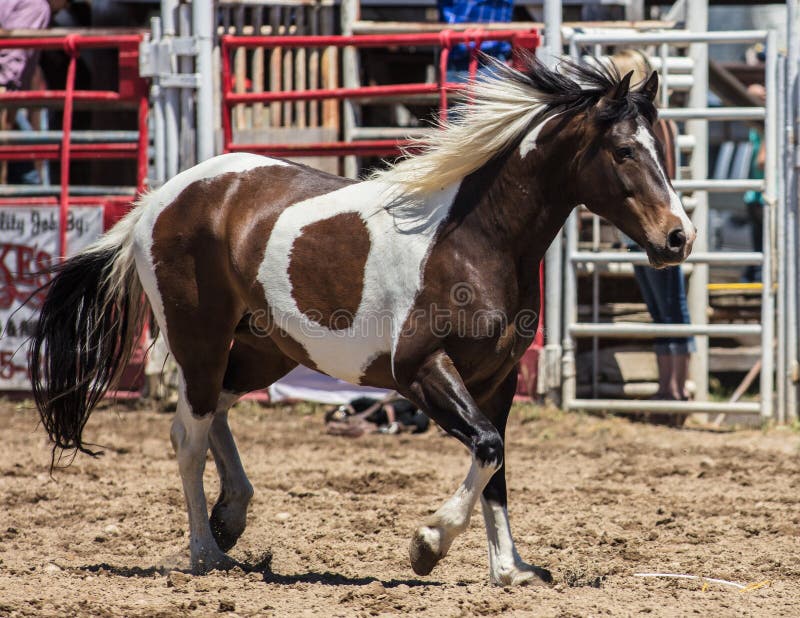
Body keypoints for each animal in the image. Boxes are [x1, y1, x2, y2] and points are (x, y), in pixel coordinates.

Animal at [30, 55, 695, 586]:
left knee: (216, 411)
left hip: (263, 351)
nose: (678, 238)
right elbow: (486, 447)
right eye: (624, 151)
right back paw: (206, 553)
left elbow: (498, 463)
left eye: (664, 150)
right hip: (200, 341)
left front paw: (511, 570)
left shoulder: (498, 381)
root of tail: (157, 201)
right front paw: (428, 545)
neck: (475, 240)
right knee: (187, 437)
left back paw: (231, 516)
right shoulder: (421, 370)